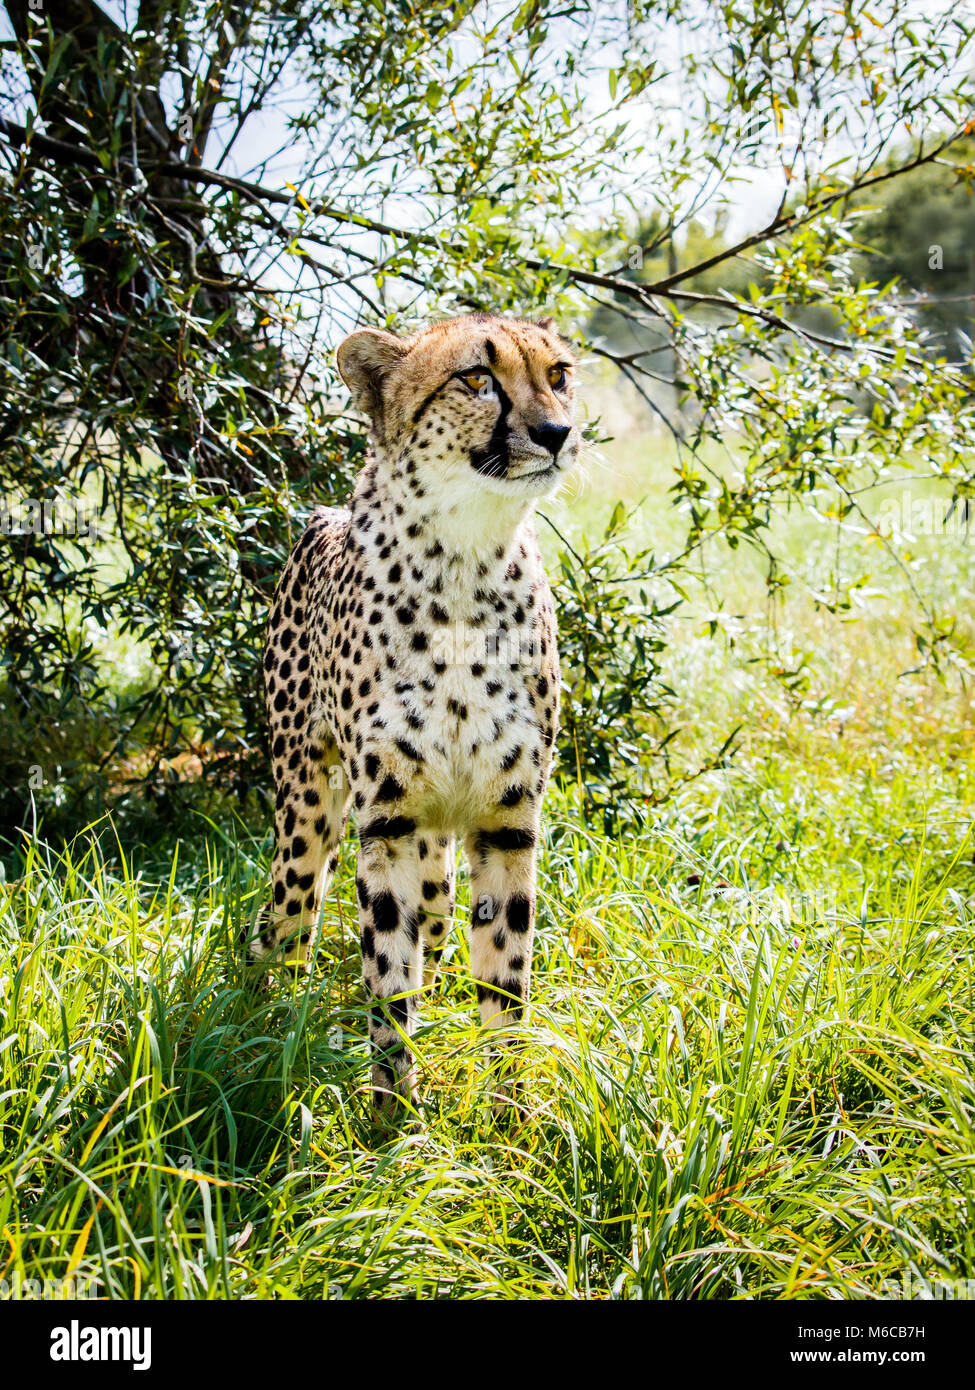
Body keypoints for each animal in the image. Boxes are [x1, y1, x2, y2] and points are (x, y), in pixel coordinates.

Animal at [247, 311, 581, 1113]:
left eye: (557, 375)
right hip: (307, 802)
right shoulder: (389, 821)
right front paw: (393, 1112)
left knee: (433, 915)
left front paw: (509, 1105)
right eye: (477, 378)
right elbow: (385, 970)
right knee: (291, 914)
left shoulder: (507, 819)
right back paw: (274, 1020)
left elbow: (506, 971)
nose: (556, 431)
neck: (466, 557)